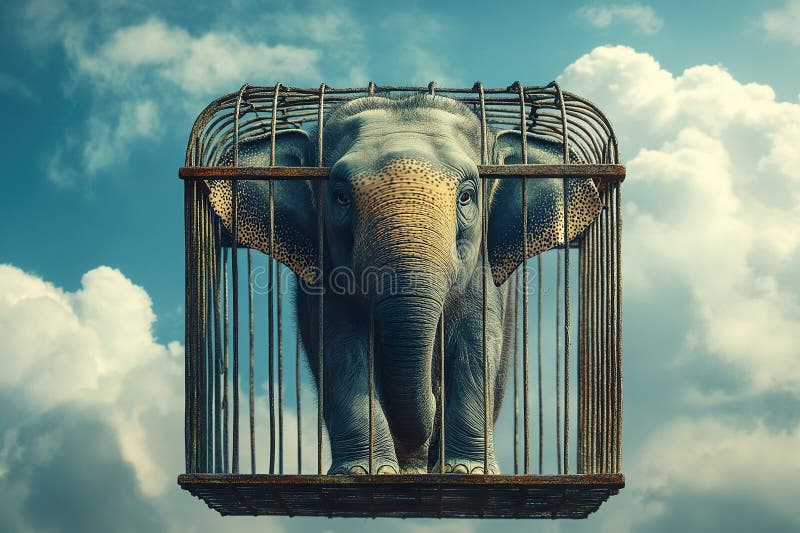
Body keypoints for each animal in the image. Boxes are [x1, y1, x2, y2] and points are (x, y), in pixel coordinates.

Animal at [206, 94, 601, 475]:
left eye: (466, 196)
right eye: (340, 196)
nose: (434, 395)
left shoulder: (484, 275)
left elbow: (475, 346)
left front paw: (467, 471)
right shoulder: (325, 279)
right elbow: (342, 348)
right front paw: (365, 472)